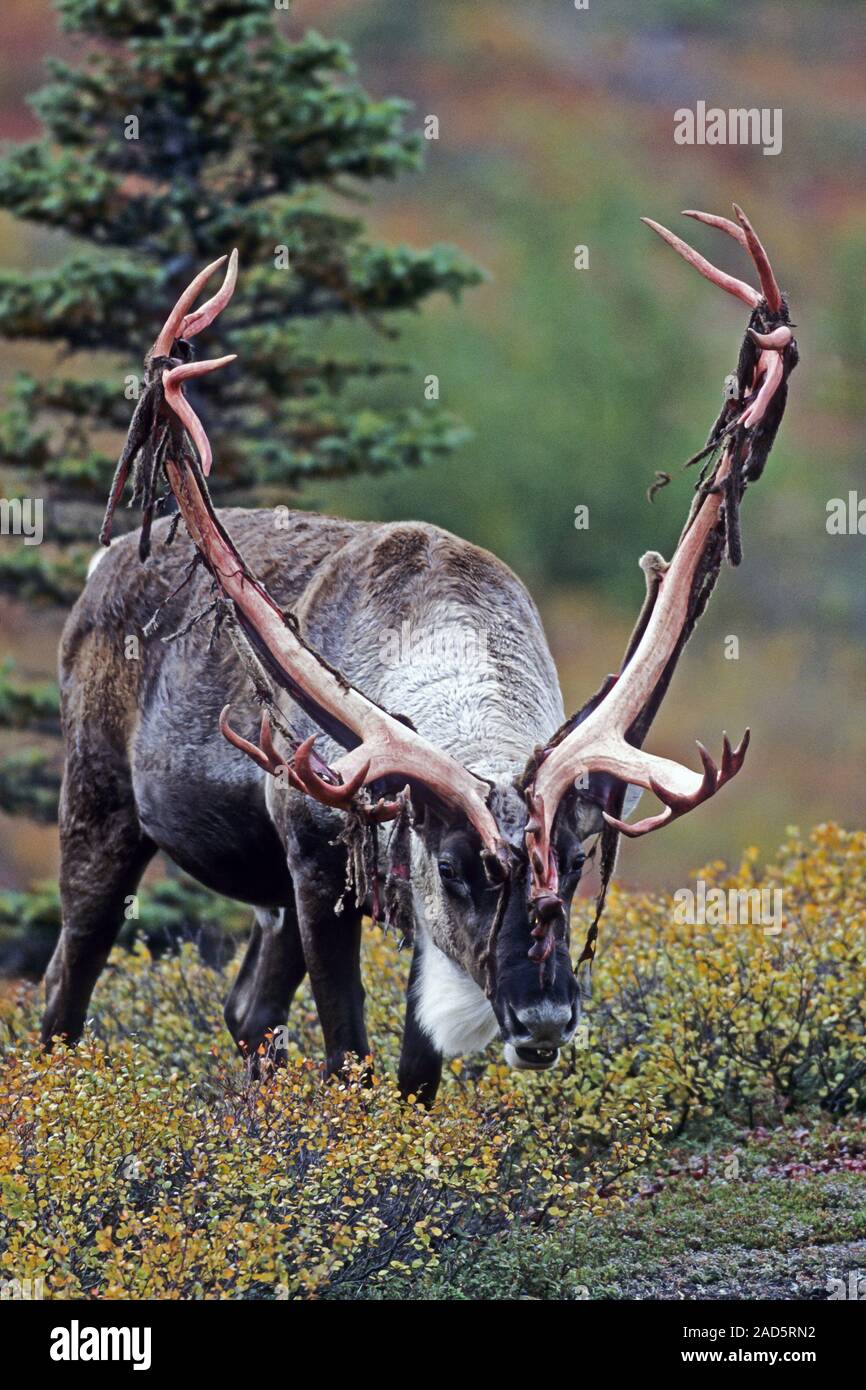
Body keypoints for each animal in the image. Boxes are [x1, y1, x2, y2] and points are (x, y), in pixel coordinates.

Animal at [41, 207, 797, 1105]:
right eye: (456, 866)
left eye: (578, 859)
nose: (544, 1020)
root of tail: (104, 562)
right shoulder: (320, 862)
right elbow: (348, 1055)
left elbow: (412, 1074)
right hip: (101, 802)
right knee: (65, 986)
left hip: (259, 896)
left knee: (246, 1010)